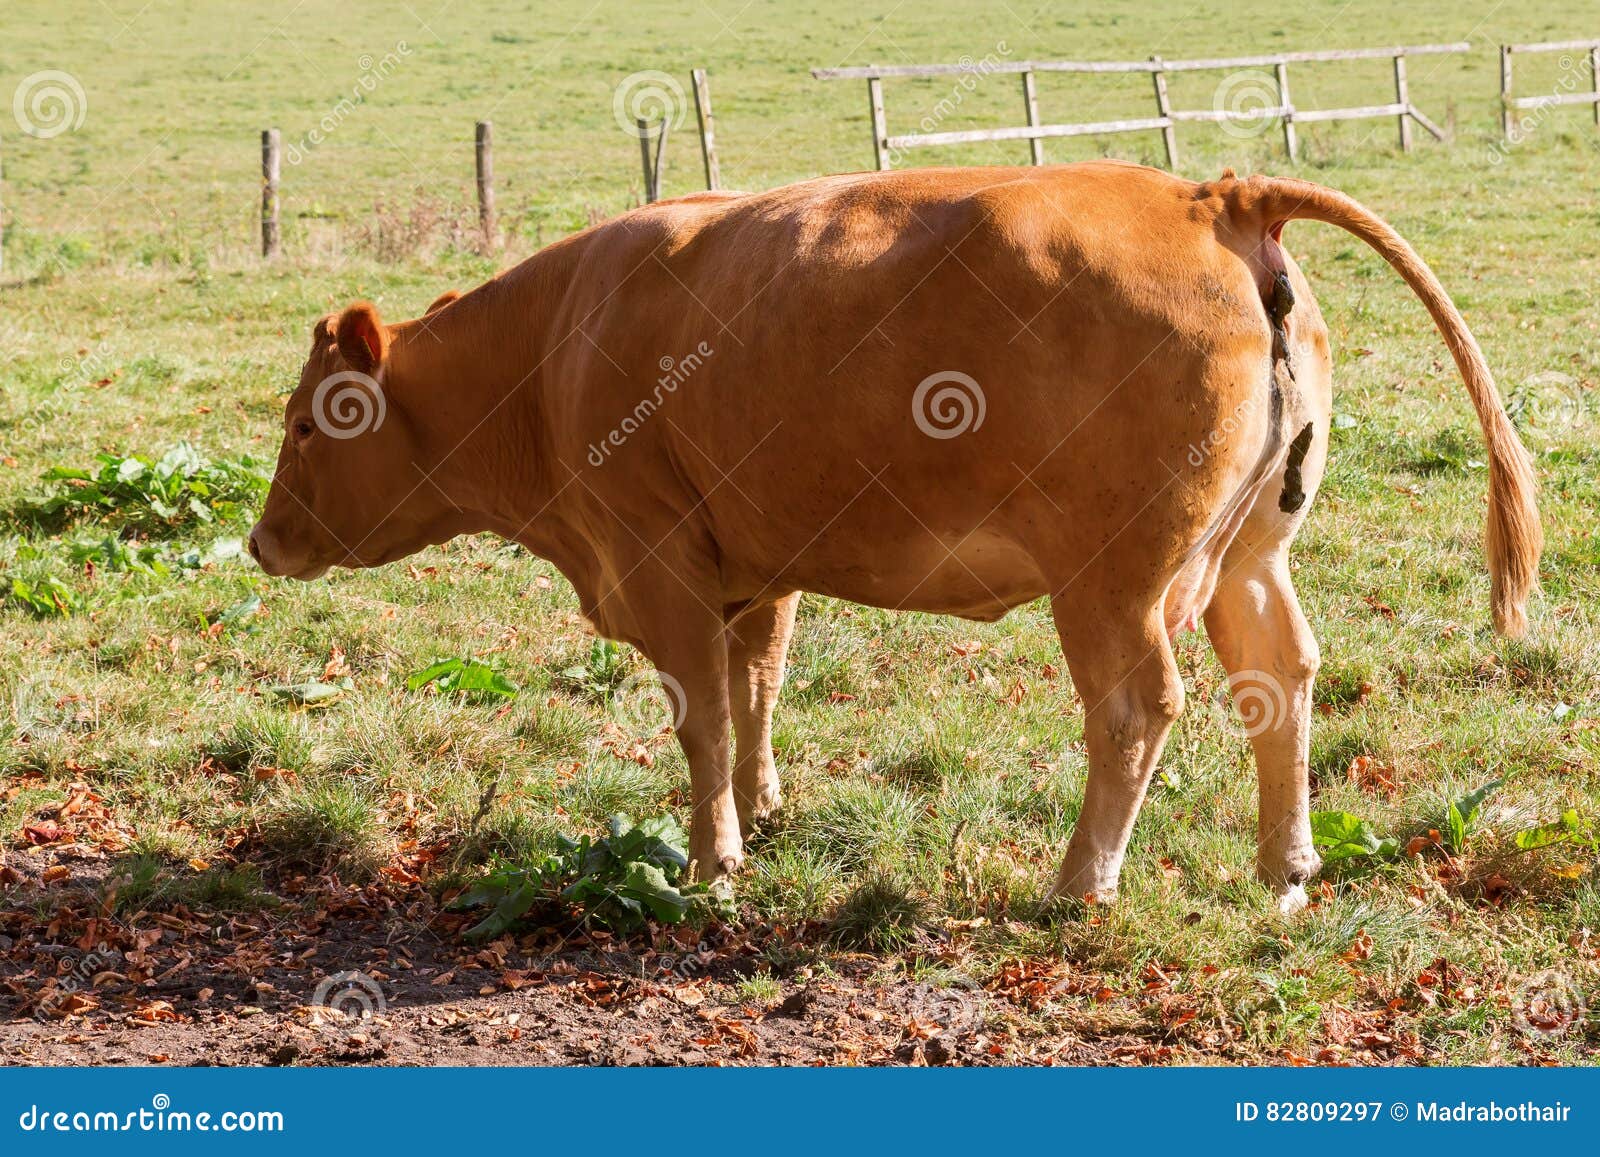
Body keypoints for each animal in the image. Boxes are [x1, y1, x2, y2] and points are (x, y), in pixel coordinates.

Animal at [249, 162, 1541, 914]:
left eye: (312, 420)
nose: (262, 543)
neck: (553, 346)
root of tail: (1209, 195)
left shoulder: (660, 563)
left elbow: (702, 715)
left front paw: (712, 853)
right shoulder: (752, 566)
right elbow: (755, 688)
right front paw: (764, 810)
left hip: (1112, 577)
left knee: (1135, 705)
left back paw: (1080, 881)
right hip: (1250, 555)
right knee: (1280, 676)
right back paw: (1284, 864)